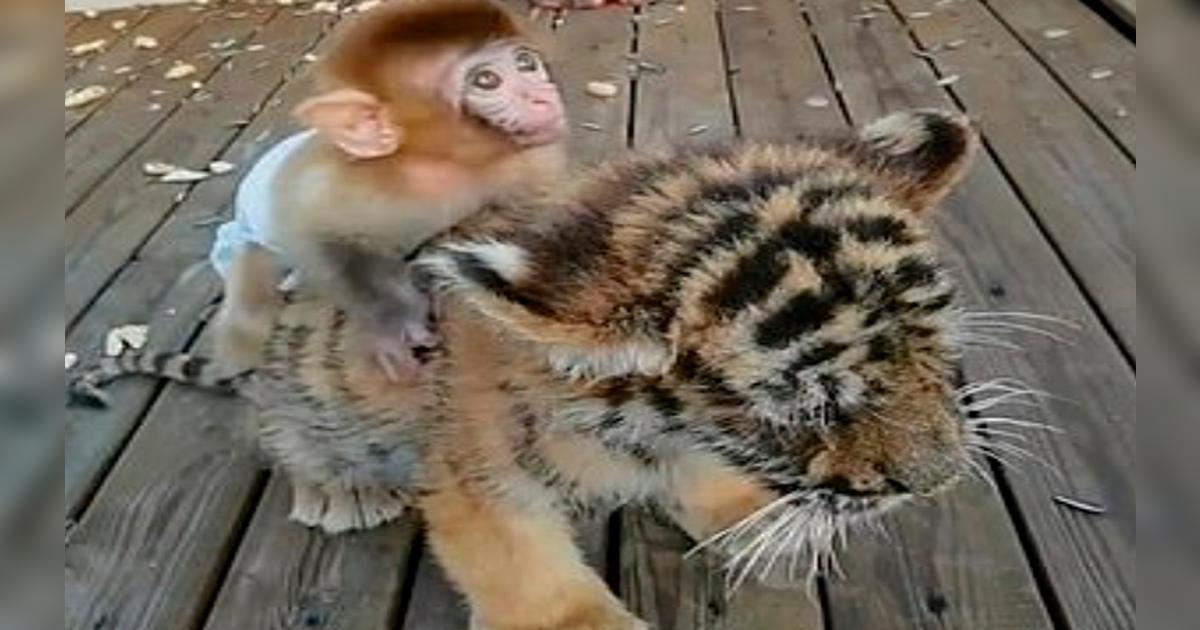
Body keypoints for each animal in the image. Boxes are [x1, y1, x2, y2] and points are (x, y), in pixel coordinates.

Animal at [70, 109, 978, 630]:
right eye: (803, 408)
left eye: (936, 345)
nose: (938, 483)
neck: (647, 432)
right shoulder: (477, 481)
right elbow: (531, 579)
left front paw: (758, 523)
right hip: (298, 393)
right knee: (280, 435)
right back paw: (343, 491)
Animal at [210, 0, 569, 381]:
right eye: (487, 80)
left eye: (525, 62)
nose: (544, 96)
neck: (444, 163)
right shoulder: (346, 187)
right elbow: (317, 237)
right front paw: (397, 323)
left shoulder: (531, 162)